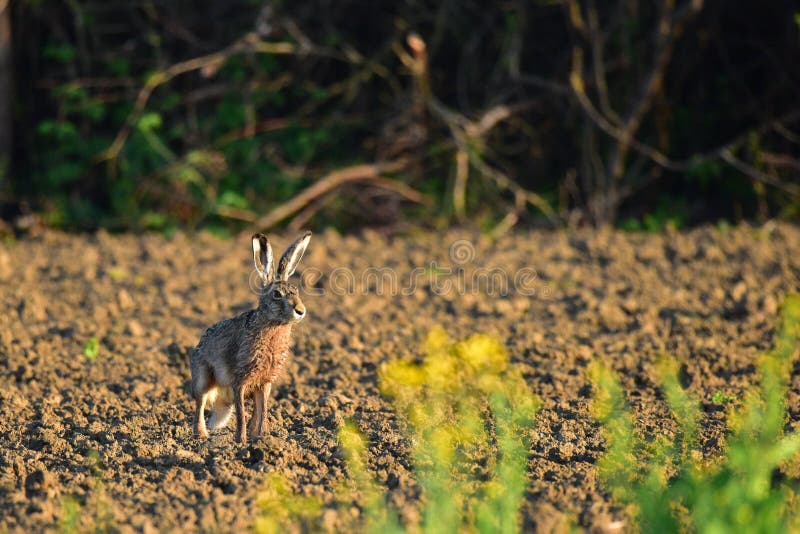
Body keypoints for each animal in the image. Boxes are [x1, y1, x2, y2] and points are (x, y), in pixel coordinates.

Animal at [190, 231, 311, 444]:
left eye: (296, 291)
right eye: (276, 294)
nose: (300, 311)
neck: (272, 324)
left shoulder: (264, 383)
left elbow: (262, 411)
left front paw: (261, 438)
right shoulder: (239, 380)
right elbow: (241, 414)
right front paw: (242, 441)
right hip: (203, 377)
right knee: (200, 404)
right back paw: (202, 435)